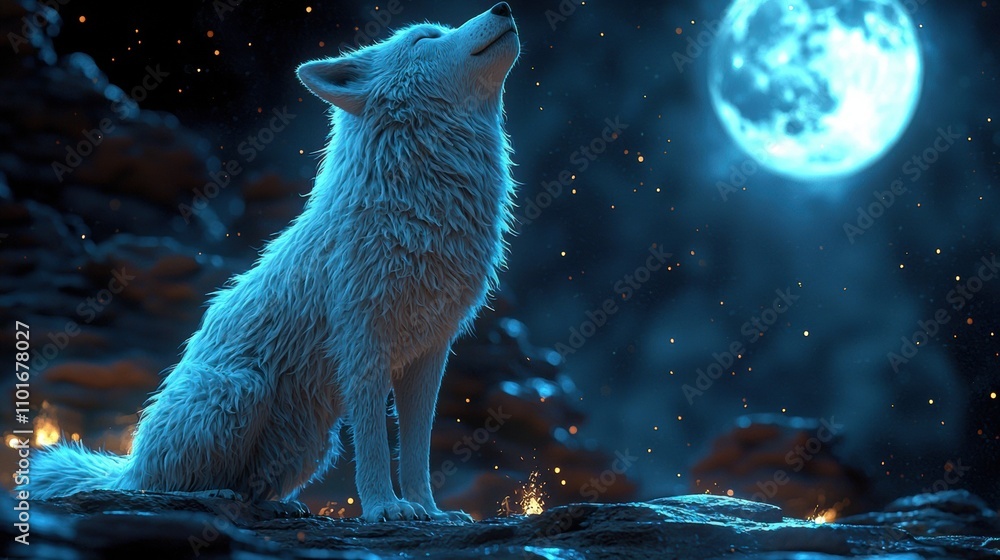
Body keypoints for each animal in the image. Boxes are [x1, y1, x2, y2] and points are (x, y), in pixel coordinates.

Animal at [23, 2, 519, 522]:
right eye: (425, 38)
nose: (503, 7)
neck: (417, 205)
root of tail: (128, 463)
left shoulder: (430, 352)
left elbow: (417, 448)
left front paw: (431, 511)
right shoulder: (362, 344)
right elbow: (374, 445)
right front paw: (385, 508)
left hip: (309, 444)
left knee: (243, 487)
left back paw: (279, 507)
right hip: (239, 392)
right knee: (157, 487)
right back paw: (210, 497)